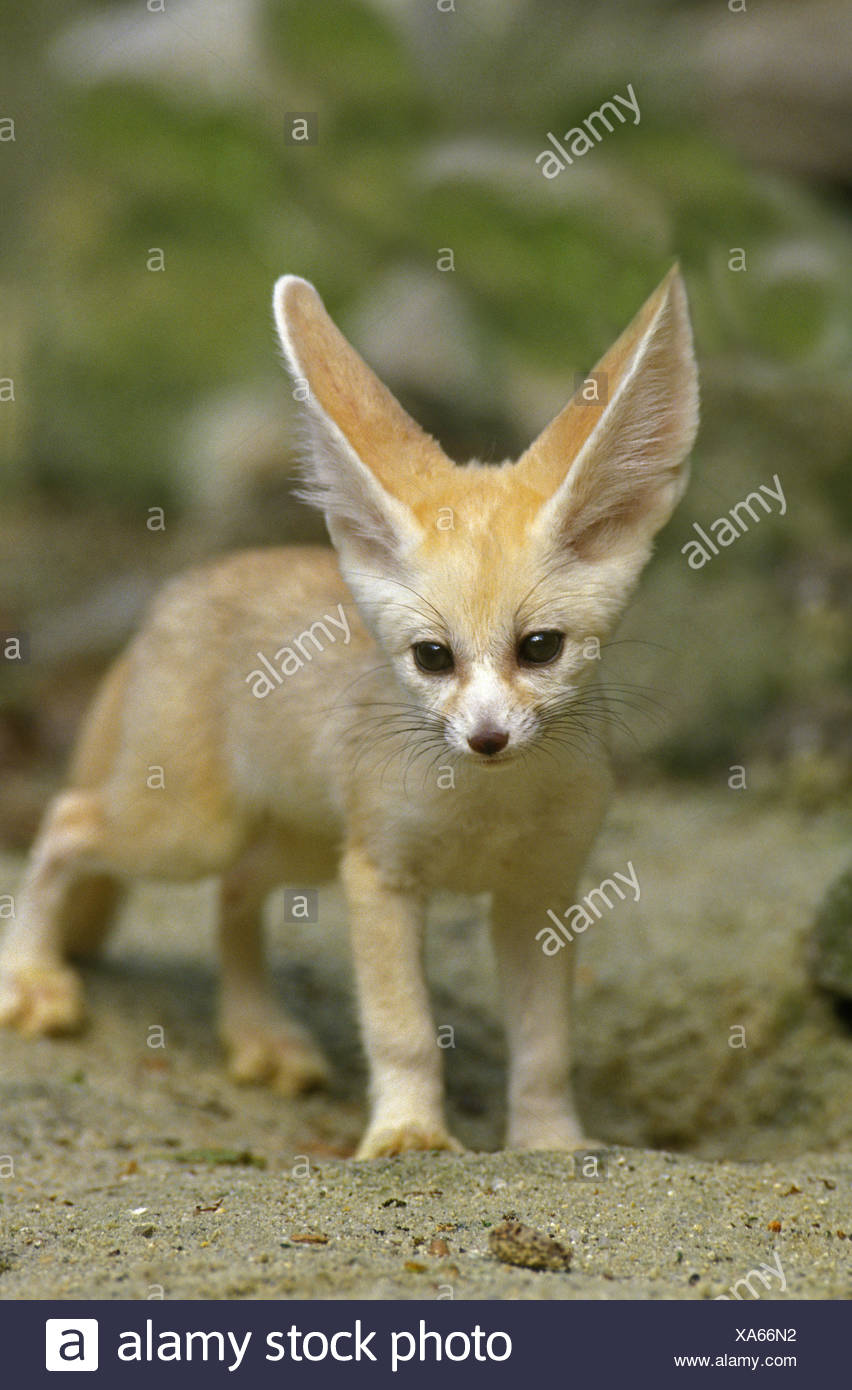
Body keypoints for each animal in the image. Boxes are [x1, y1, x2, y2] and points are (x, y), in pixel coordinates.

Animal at [0, 266, 698, 1158]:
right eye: (432, 657)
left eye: (540, 647)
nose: (487, 737)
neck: (489, 807)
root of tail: (181, 588)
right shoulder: (380, 876)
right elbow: (403, 1030)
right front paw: (409, 1135)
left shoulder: (541, 892)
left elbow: (545, 1047)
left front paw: (551, 1144)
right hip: (186, 832)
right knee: (68, 820)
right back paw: (32, 975)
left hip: (297, 845)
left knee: (235, 893)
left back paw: (259, 1032)